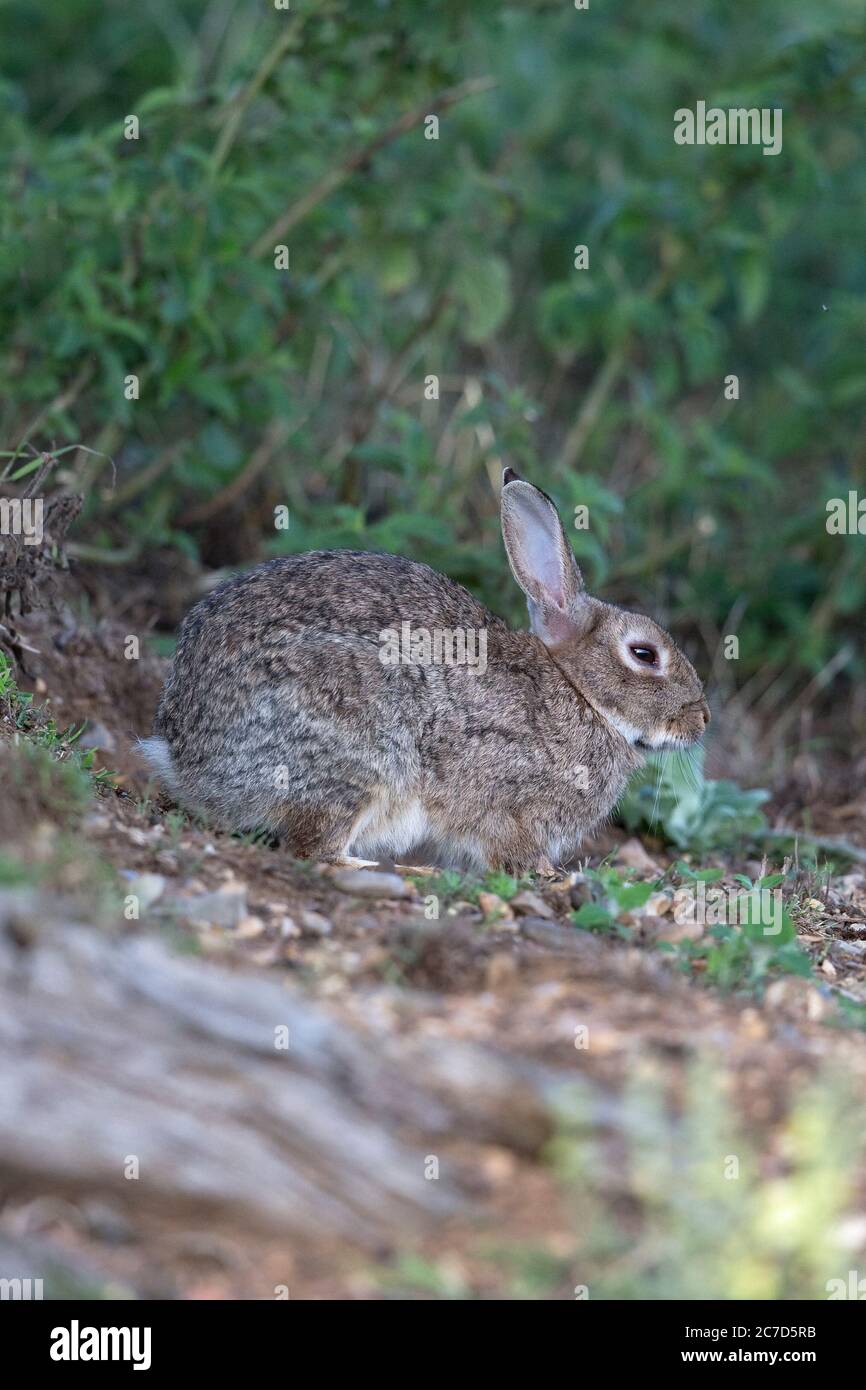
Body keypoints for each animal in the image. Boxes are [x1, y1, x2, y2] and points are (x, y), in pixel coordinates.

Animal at [141, 469, 709, 872]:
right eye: (644, 654)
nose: (702, 720)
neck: (580, 694)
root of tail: (187, 756)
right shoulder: (509, 804)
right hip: (358, 756)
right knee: (314, 847)